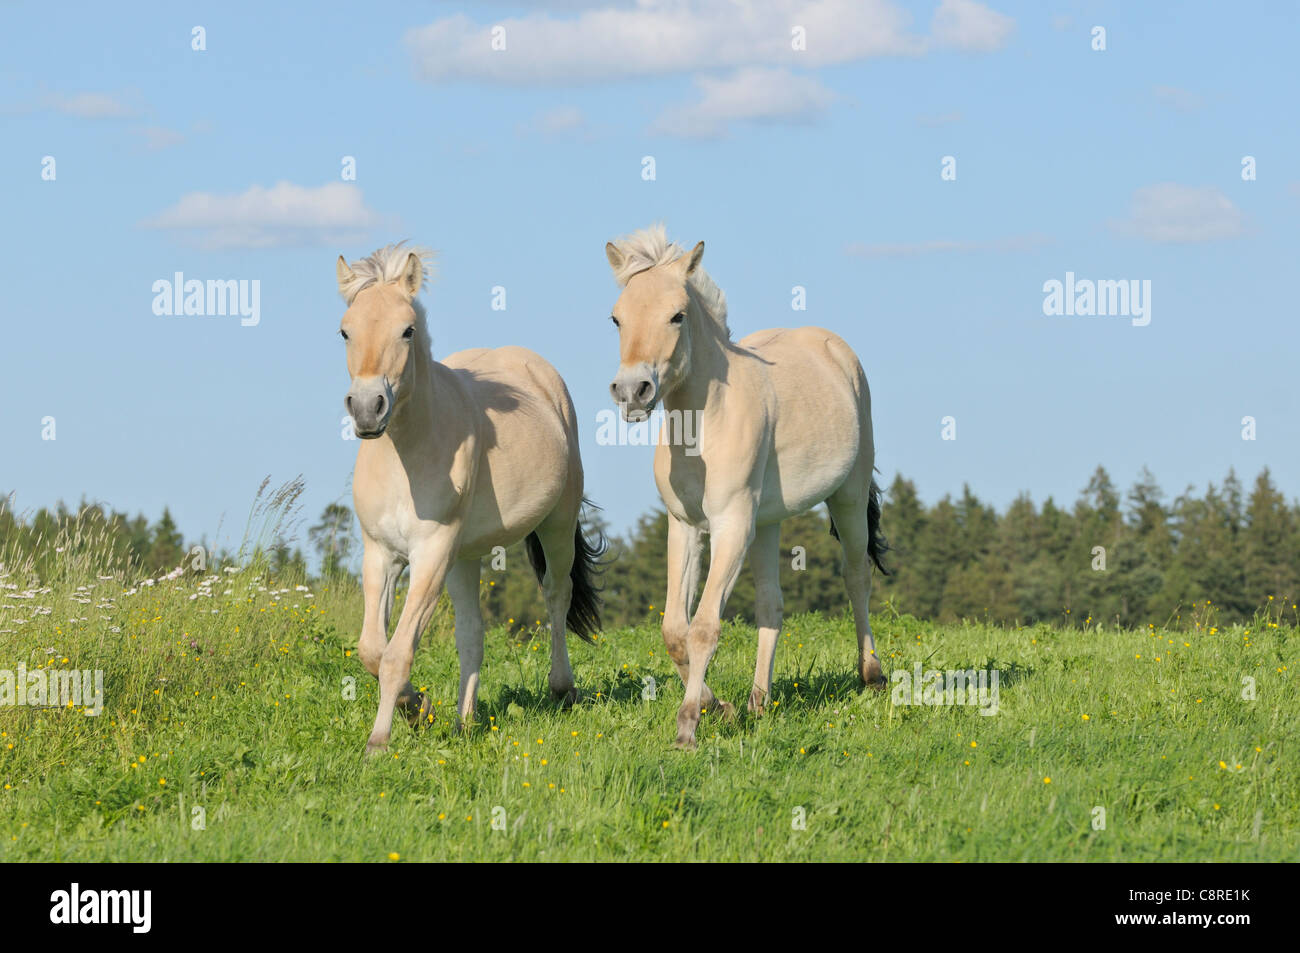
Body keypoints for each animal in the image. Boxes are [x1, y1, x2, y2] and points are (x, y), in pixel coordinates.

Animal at [334, 243, 604, 755]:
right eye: (345, 330)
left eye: (407, 330)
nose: (367, 410)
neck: (406, 457)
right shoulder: (382, 554)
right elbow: (372, 650)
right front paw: (418, 708)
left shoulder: (431, 553)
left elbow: (397, 652)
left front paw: (379, 740)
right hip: (465, 557)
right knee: (472, 633)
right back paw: (463, 721)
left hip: (554, 525)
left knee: (557, 593)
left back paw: (563, 688)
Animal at [603, 225, 889, 749]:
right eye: (617, 317)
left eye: (676, 315)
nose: (632, 392)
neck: (706, 422)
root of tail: (837, 352)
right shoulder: (686, 527)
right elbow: (675, 630)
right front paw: (721, 708)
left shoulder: (731, 525)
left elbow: (704, 628)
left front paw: (689, 725)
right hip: (768, 523)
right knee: (770, 604)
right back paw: (759, 702)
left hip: (849, 495)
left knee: (856, 574)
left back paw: (872, 676)